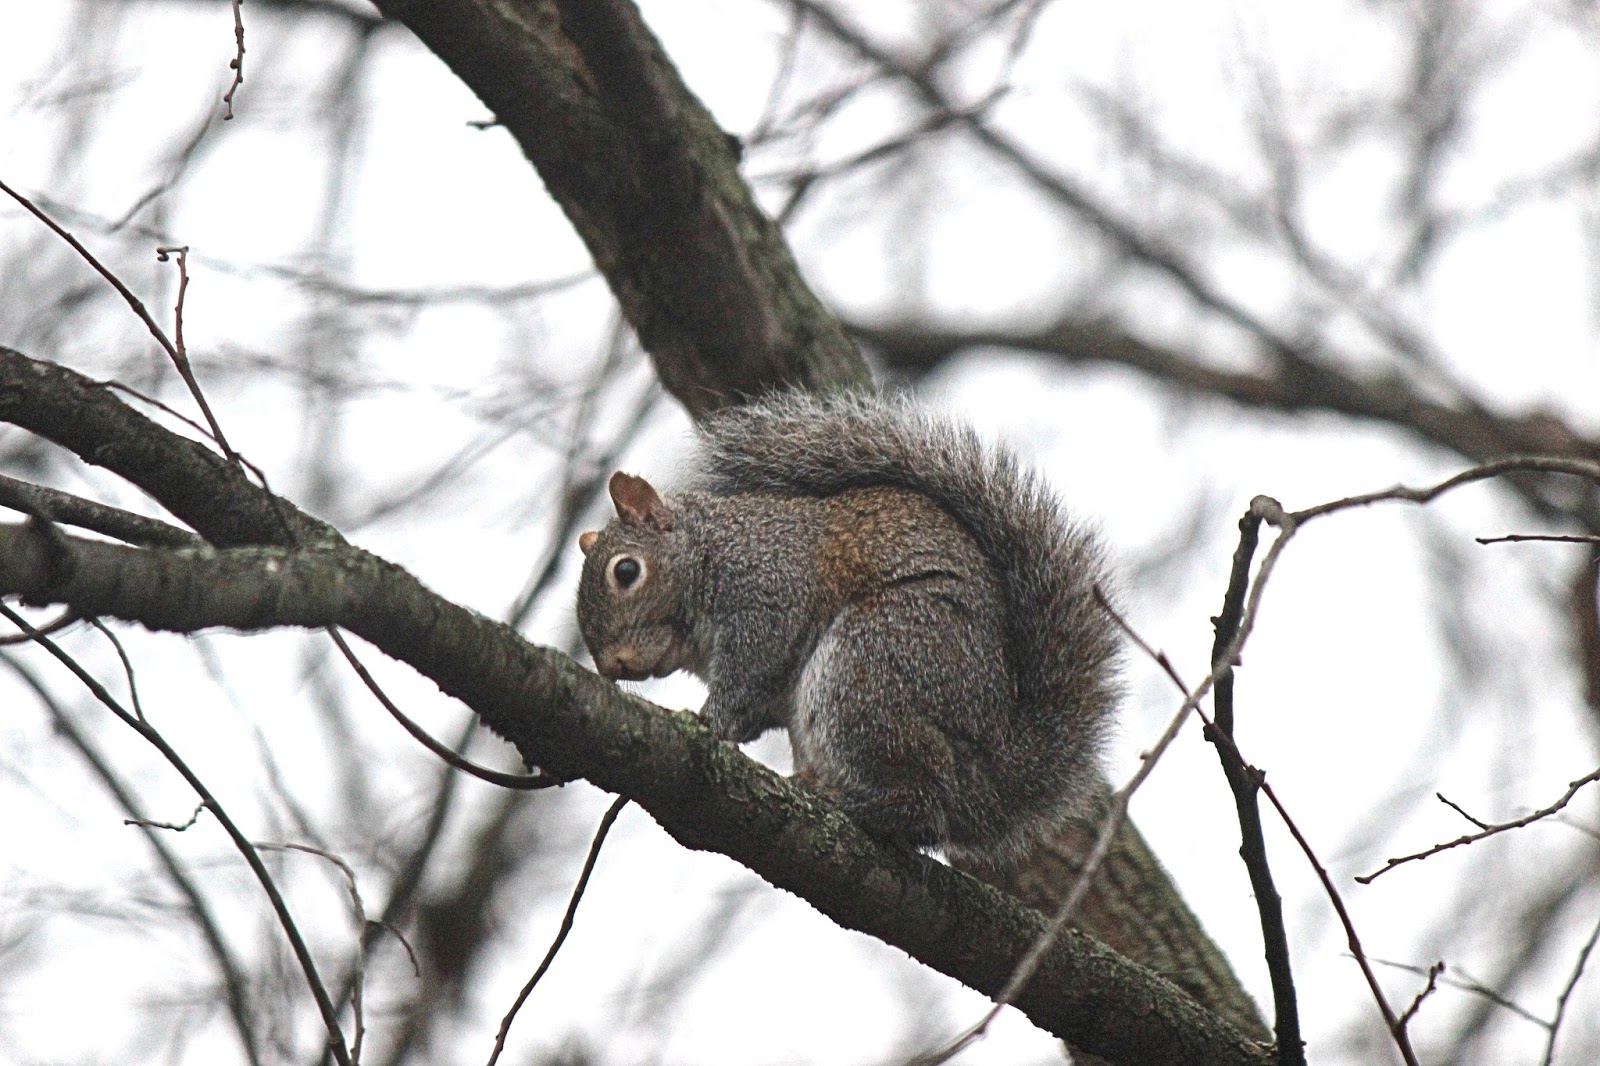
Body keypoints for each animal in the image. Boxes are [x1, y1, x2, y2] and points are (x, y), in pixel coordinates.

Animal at [575, 390, 1120, 864]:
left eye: (627, 571)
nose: (613, 665)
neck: (711, 549)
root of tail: (987, 774)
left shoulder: (769, 591)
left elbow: (751, 670)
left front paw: (708, 720)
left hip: (869, 665)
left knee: (924, 804)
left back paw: (858, 804)